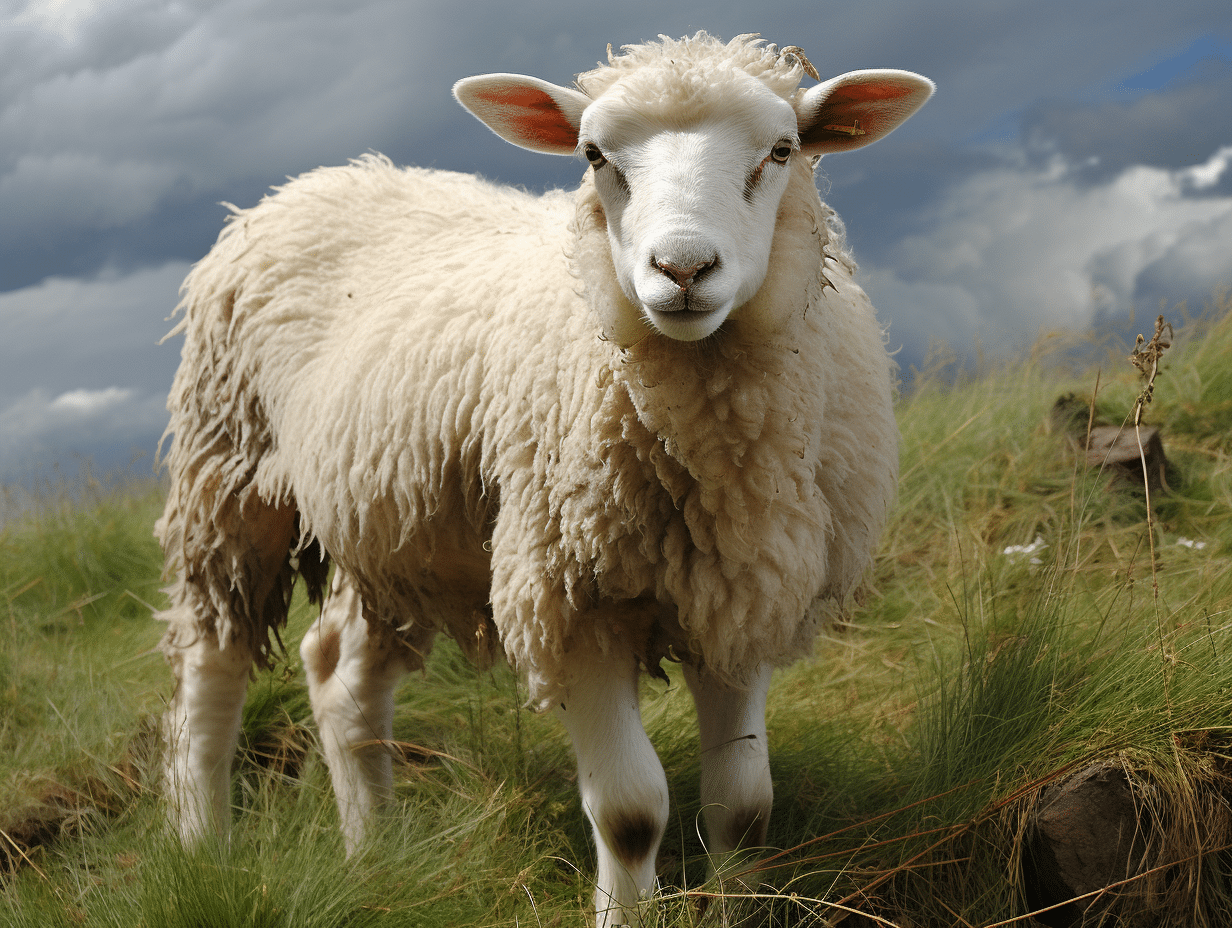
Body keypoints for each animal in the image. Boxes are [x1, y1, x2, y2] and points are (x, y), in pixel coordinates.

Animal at [155, 32, 931, 927]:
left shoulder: (742, 590)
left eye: (781, 150)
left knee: (337, 671)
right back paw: (202, 849)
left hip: (392, 522)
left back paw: (373, 849)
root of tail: (315, 179)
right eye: (594, 156)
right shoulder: (571, 597)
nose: (684, 269)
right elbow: (632, 813)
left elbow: (743, 804)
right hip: (227, 468)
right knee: (210, 666)